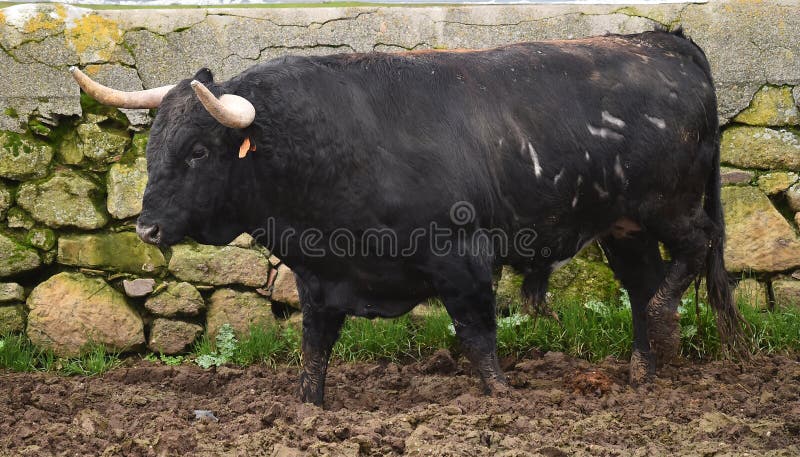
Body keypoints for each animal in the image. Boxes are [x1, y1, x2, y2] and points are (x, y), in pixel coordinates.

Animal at [72, 28, 745, 406]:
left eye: (198, 151)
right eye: (154, 145)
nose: (147, 228)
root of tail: (662, 39)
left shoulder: (463, 256)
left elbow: (477, 335)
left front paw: (500, 400)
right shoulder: (320, 277)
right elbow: (313, 348)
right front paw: (306, 409)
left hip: (669, 205)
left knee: (696, 250)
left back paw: (661, 333)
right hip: (622, 228)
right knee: (643, 283)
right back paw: (643, 368)